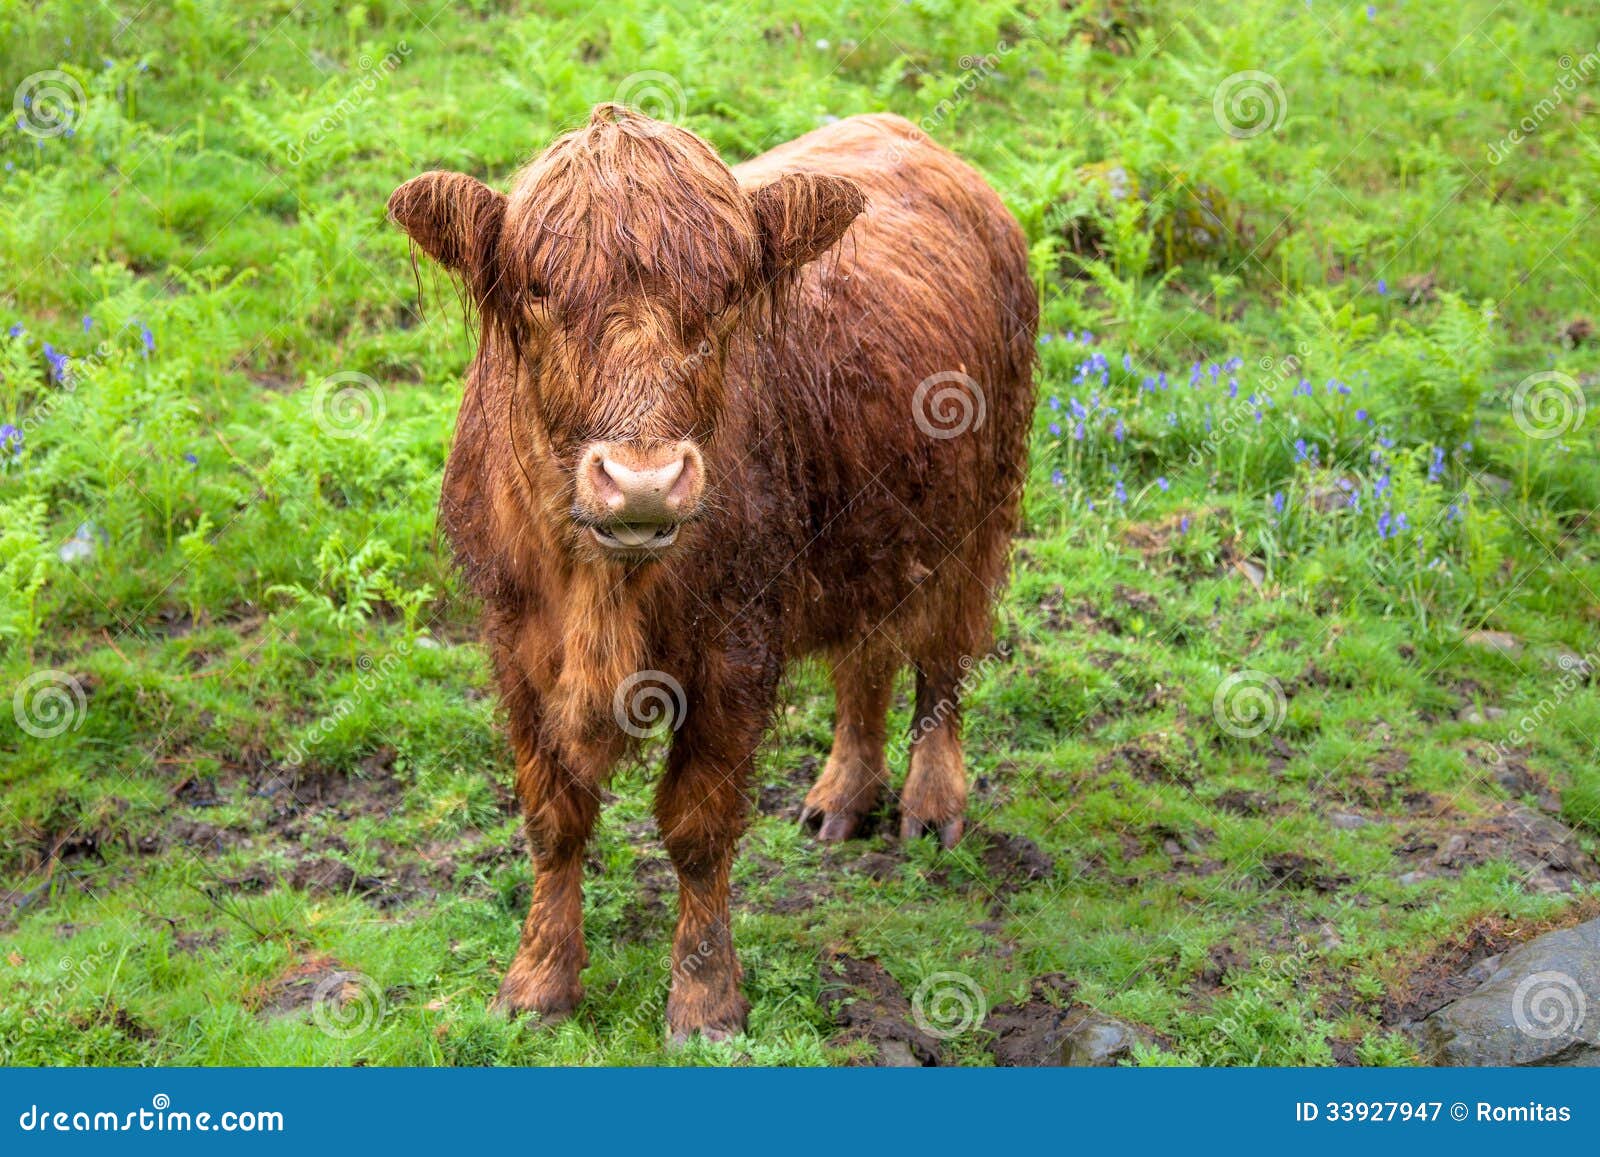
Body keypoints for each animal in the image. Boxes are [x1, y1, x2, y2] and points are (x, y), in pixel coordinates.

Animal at [388, 105, 1037, 1042]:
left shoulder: (736, 647)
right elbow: (552, 818)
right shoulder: (513, 645)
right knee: (866, 656)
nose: (643, 480)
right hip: (865, 534)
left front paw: (704, 1001)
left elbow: (697, 825)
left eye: (727, 295)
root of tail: (911, 134)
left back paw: (931, 806)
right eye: (539, 290)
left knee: (943, 658)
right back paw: (842, 795)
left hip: (976, 517)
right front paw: (537, 984)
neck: (605, 591)